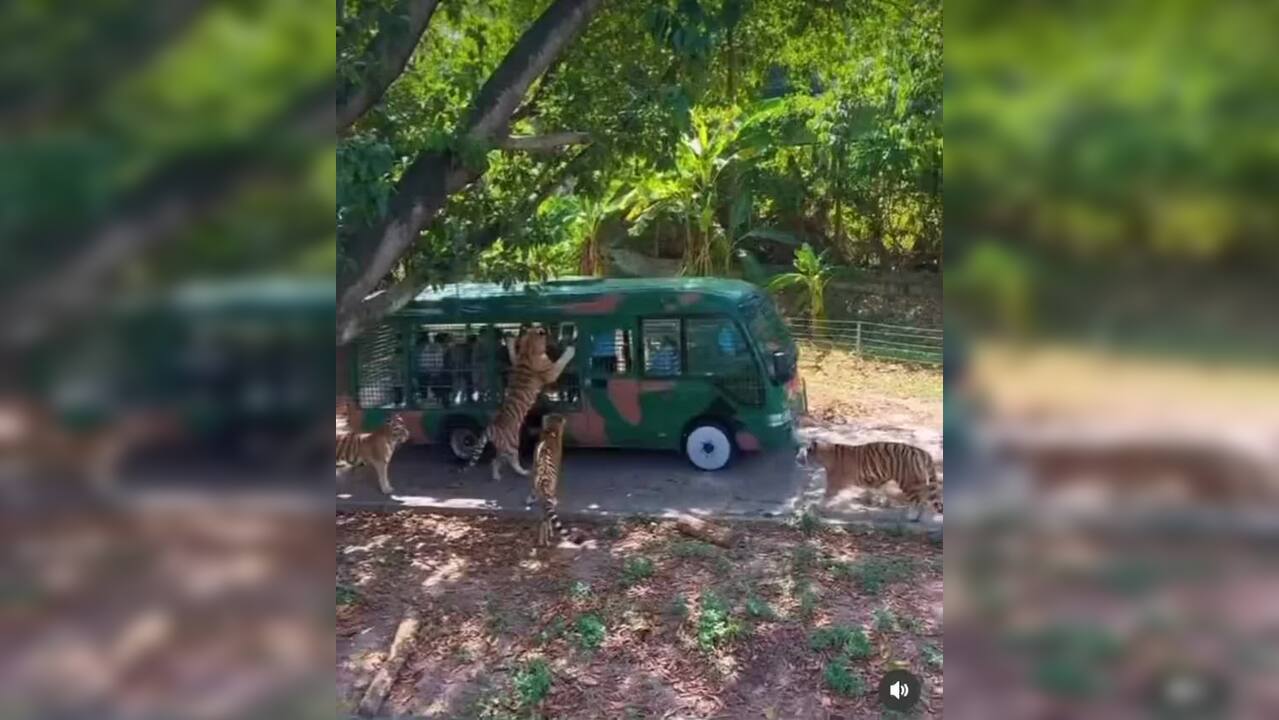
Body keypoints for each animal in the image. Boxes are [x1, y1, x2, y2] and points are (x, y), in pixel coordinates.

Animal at [463, 325, 576, 481]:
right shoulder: (550, 372)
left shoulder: (515, 360)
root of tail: (491, 428)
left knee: (496, 460)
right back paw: (522, 472)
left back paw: (497, 476)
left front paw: (509, 340)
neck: (528, 348)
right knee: (507, 460)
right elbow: (560, 362)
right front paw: (571, 350)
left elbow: (512, 354)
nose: (553, 338)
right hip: (512, 445)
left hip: (503, 447)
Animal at [529, 414, 582, 546]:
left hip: (542, 495)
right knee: (547, 516)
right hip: (550, 488)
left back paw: (542, 540)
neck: (550, 431)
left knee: (543, 518)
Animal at [799, 439, 943, 522]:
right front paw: (879, 501)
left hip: (908, 483)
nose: (796, 459)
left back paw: (912, 516)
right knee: (922, 498)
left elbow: (825, 496)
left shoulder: (833, 483)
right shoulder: (875, 480)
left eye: (803, 453)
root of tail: (923, 453)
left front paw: (816, 507)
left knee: (918, 500)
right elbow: (877, 490)